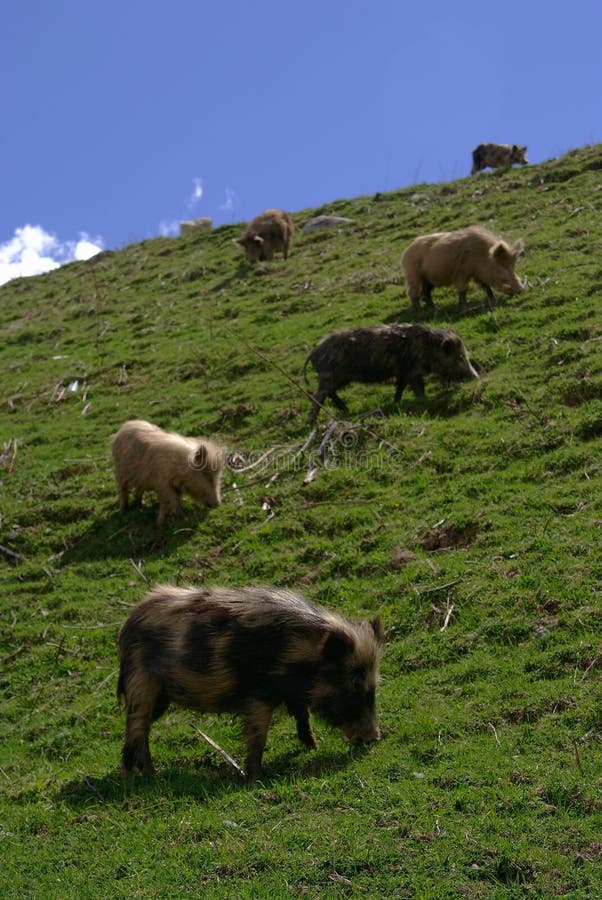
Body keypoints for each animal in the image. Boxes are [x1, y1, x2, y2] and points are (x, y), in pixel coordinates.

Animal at [117, 584, 384, 783]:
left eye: (373, 685)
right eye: (353, 683)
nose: (374, 738)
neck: (295, 651)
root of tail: (128, 623)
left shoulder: (293, 693)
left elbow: (302, 715)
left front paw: (313, 746)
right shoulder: (258, 695)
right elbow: (258, 735)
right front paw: (255, 779)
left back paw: (129, 771)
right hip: (142, 683)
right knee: (138, 728)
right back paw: (151, 775)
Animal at [304, 323, 479, 423]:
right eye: (459, 357)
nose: (476, 377)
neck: (428, 348)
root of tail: (314, 352)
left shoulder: (401, 372)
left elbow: (399, 388)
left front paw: (396, 403)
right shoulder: (412, 369)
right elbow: (417, 387)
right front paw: (425, 401)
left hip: (341, 378)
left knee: (330, 393)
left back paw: (345, 410)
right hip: (329, 375)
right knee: (318, 395)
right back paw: (312, 422)